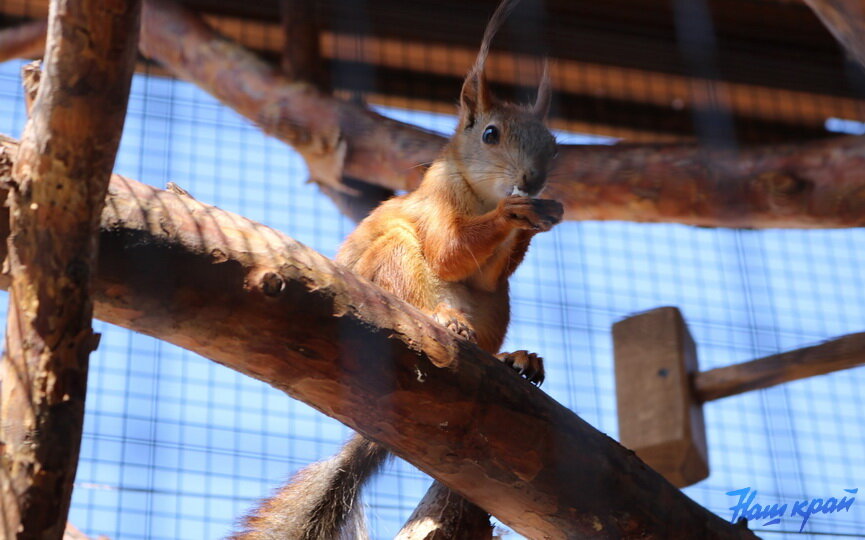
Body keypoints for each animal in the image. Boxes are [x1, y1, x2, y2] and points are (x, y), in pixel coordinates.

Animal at [235, 0, 560, 536]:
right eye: (490, 134)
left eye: (554, 145)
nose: (531, 180)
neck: (480, 193)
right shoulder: (438, 201)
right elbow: (449, 250)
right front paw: (513, 214)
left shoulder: (491, 276)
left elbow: (485, 273)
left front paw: (538, 217)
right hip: (392, 258)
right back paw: (447, 322)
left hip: (496, 306)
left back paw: (513, 358)